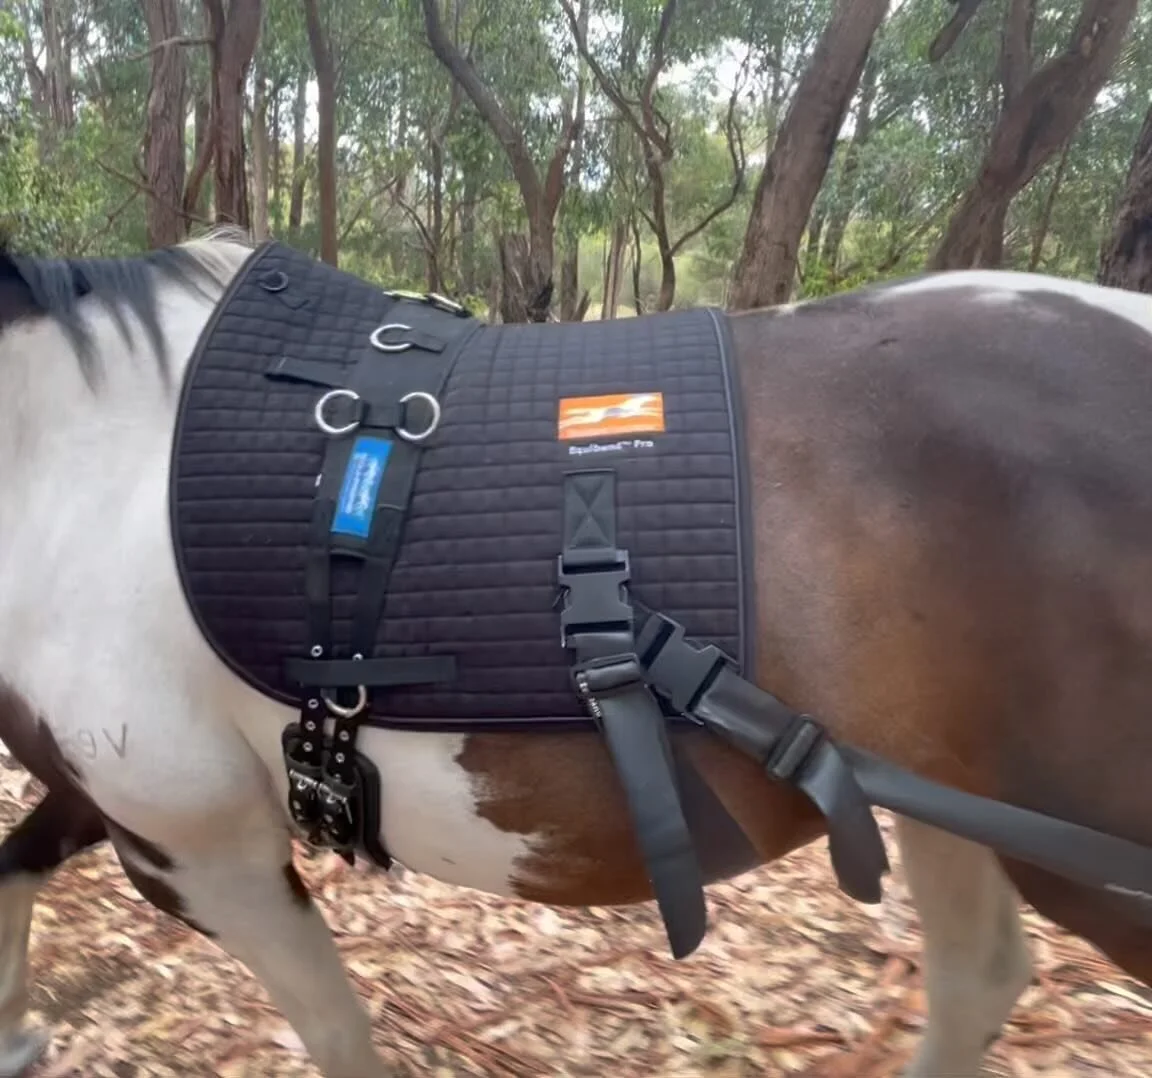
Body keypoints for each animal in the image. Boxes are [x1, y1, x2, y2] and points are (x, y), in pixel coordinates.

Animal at [1, 227, 1152, 1078]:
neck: (73, 466)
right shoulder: (112, 792)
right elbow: (13, 865)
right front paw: (15, 1035)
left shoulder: (202, 848)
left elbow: (335, 1033)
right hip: (947, 796)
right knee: (977, 976)